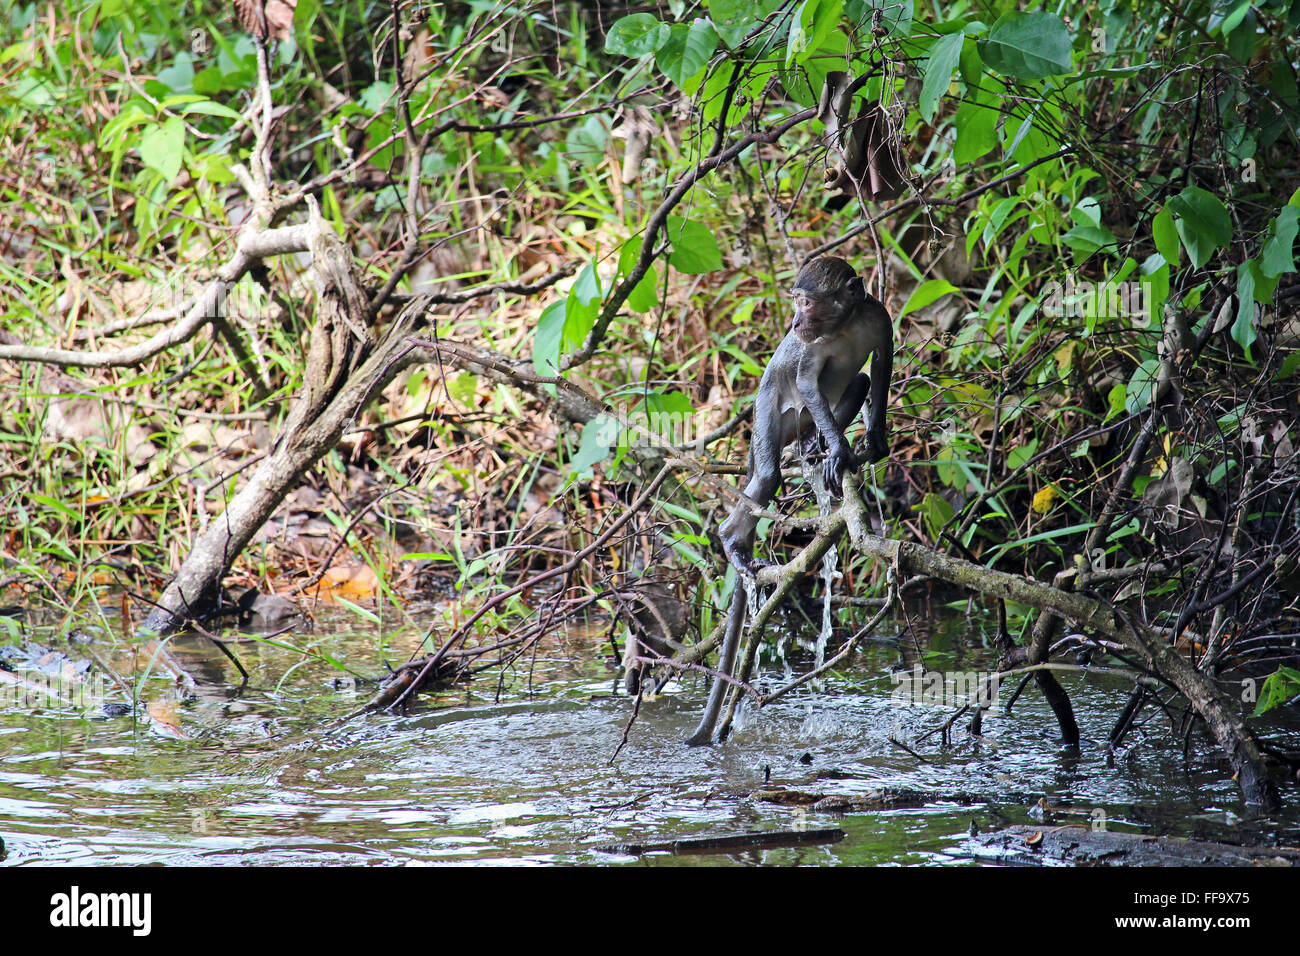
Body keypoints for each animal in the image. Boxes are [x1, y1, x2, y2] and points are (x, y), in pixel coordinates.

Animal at [684, 256, 892, 746]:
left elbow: (882, 361)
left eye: (806, 302)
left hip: (802, 418)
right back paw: (734, 540)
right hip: (768, 407)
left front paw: (870, 439)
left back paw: (815, 446)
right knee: (767, 473)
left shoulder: (877, 317)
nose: (795, 323)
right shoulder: (811, 350)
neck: (845, 324)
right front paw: (841, 451)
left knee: (858, 381)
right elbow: (808, 380)